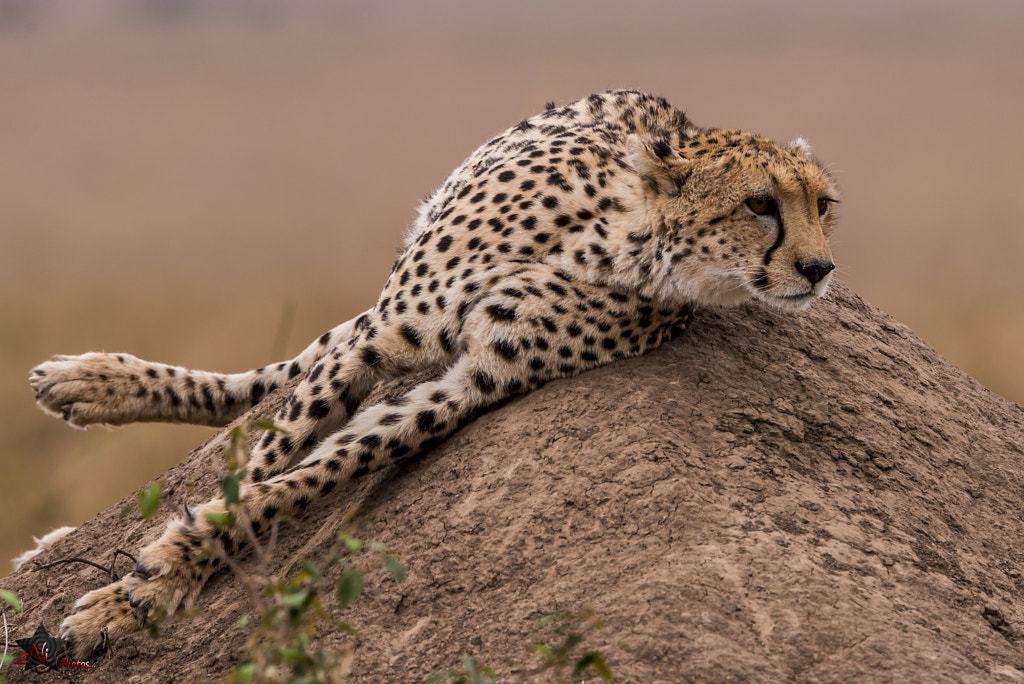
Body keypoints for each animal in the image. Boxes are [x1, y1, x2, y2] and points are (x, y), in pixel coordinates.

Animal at [27, 90, 838, 660]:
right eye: (759, 204)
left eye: (824, 206)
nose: (820, 268)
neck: (619, 240)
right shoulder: (381, 337)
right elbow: (262, 464)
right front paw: (136, 587)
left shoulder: (468, 384)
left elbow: (314, 471)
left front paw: (160, 573)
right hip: (381, 303)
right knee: (278, 377)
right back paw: (87, 388)